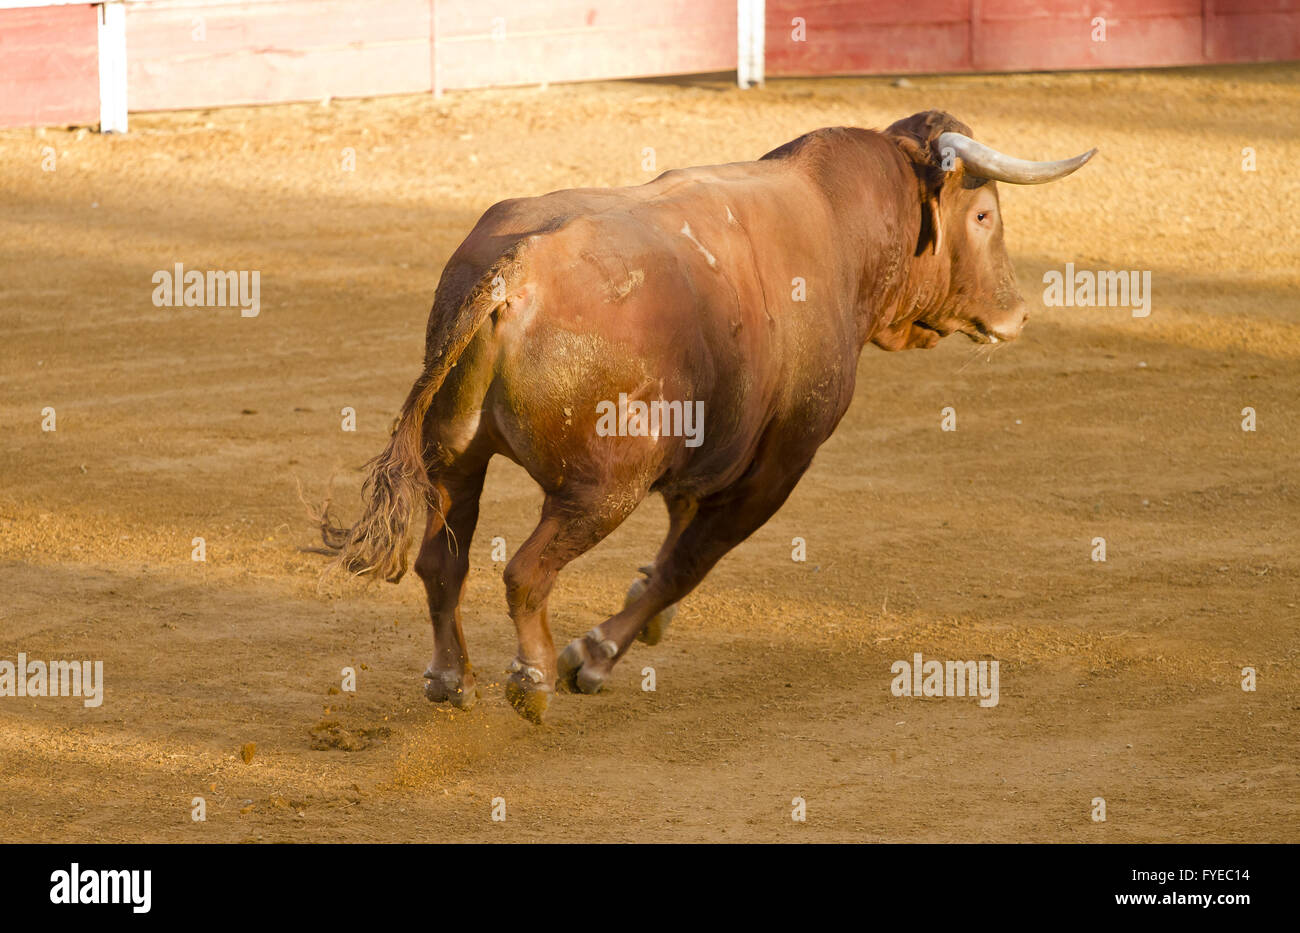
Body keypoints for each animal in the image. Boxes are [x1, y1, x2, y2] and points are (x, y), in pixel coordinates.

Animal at [320, 110, 1095, 723]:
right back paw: (534, 679)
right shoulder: (778, 463)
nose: (1018, 314)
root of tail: (517, 271)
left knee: (441, 561)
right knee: (527, 571)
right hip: (602, 489)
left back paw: (452, 679)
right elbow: (690, 559)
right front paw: (594, 654)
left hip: (457, 460)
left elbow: (674, 546)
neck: (840, 229)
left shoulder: (707, 454)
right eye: (984, 215)